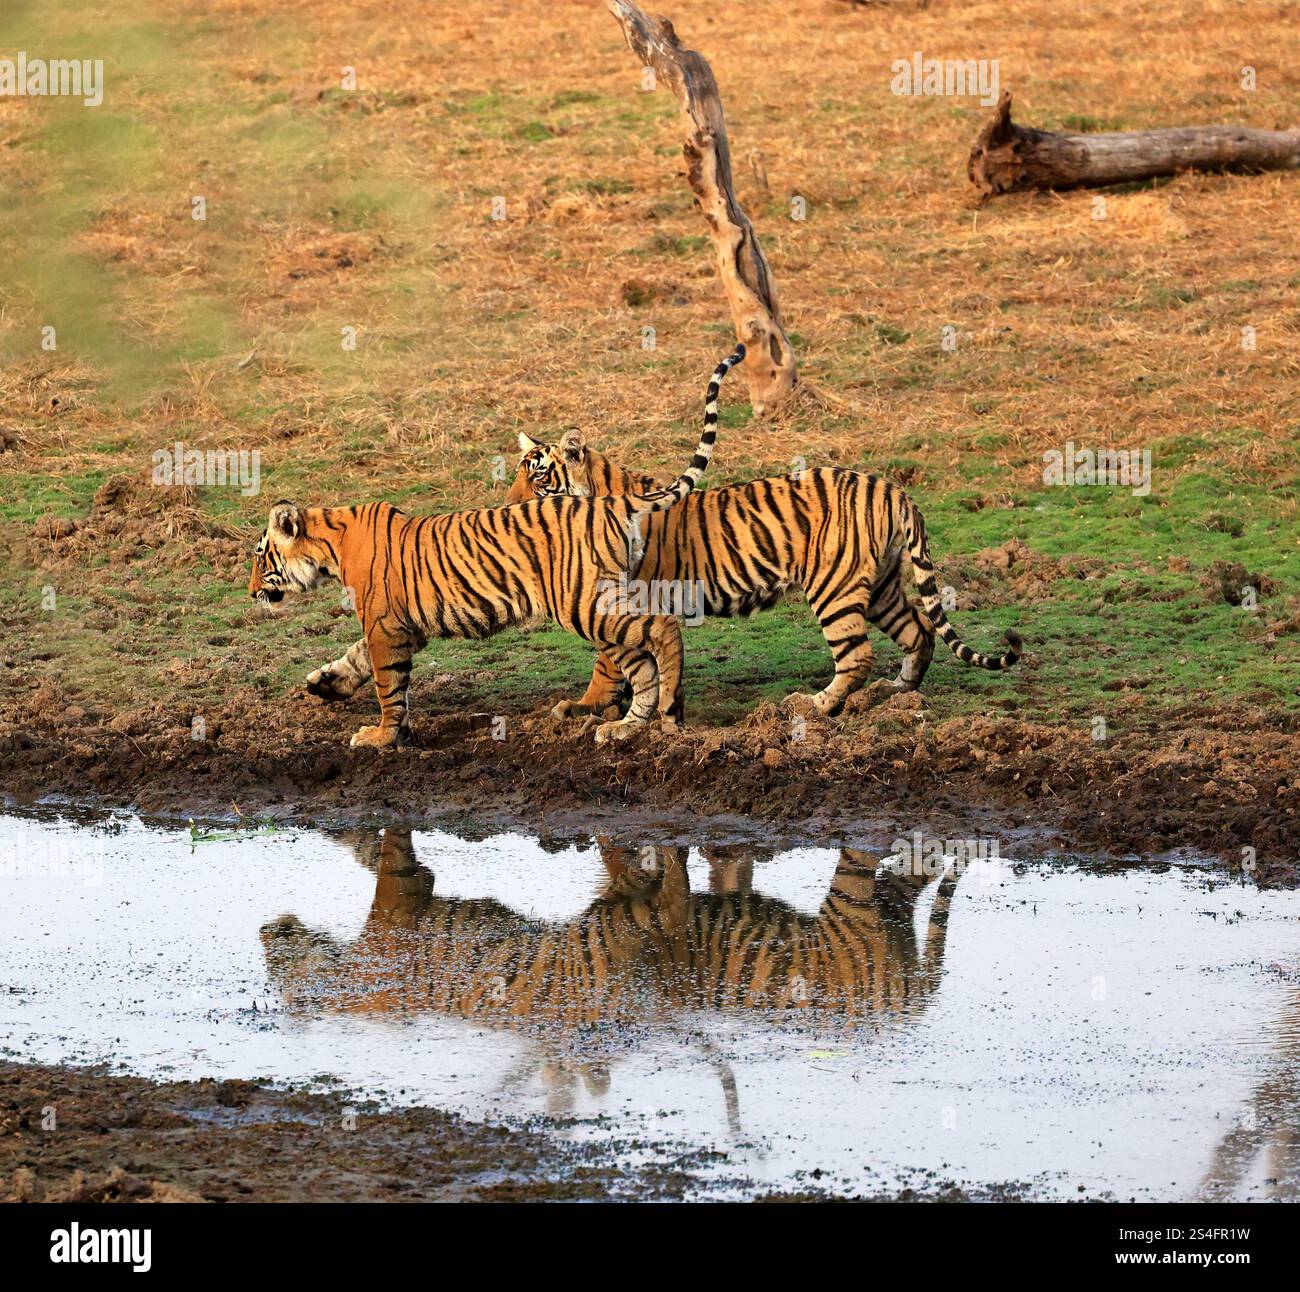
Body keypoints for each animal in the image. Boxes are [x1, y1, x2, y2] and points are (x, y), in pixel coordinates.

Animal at [248, 345, 745, 748]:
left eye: (259, 556)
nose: (251, 592)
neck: (330, 545)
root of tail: (610, 501)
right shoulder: (404, 624)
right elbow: (358, 659)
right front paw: (326, 684)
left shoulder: (385, 625)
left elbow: (388, 686)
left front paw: (381, 737)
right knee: (640, 663)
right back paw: (627, 726)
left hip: (586, 605)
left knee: (663, 630)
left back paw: (667, 709)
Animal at [505, 432, 1023, 720]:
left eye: (538, 477)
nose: (508, 507)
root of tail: (892, 488)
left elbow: (608, 660)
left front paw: (585, 705)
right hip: (880, 587)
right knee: (918, 633)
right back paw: (893, 693)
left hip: (834, 587)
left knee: (856, 655)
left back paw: (813, 705)